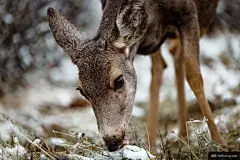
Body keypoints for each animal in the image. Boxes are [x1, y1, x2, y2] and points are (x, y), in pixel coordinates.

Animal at [47, 0, 226, 151]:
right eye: (82, 91)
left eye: (119, 81)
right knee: (169, 58)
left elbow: (194, 77)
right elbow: (157, 73)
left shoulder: (189, 13)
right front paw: (150, 147)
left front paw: (220, 143)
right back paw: (181, 136)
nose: (112, 142)